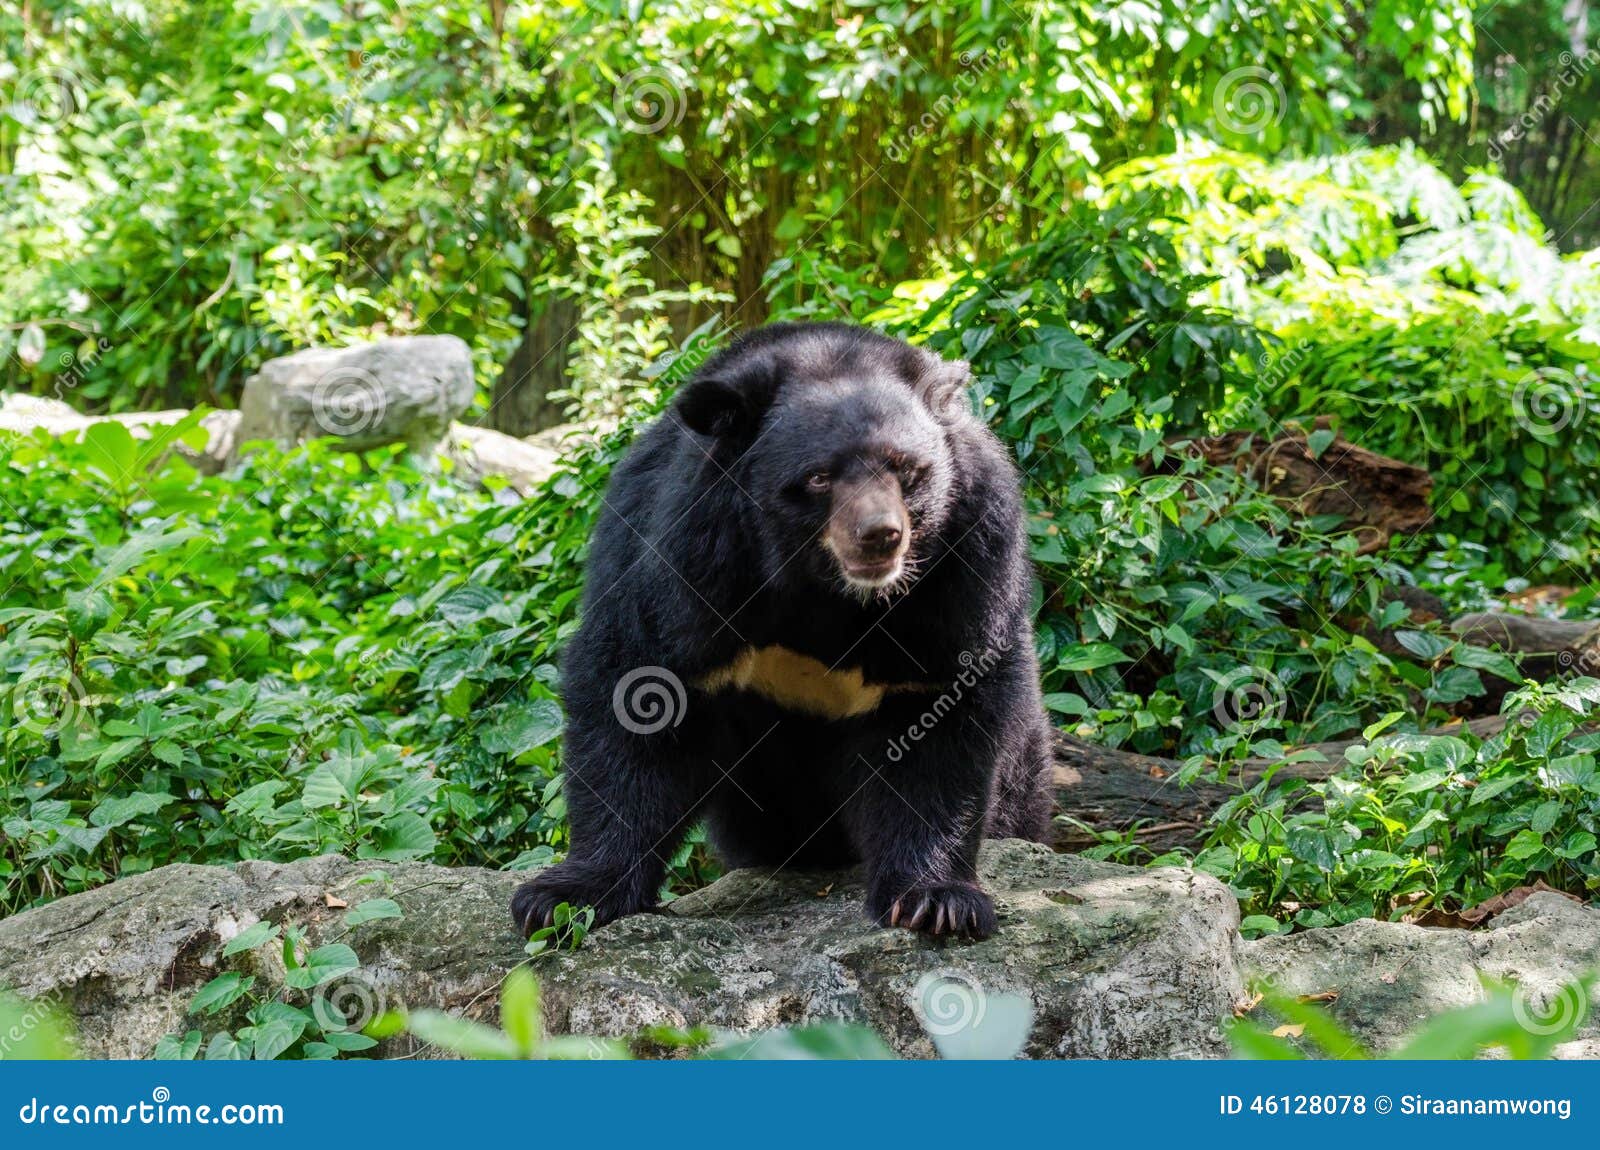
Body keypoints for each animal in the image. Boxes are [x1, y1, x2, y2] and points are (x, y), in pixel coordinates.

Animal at [511, 322, 1054, 940]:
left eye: (906, 469)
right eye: (818, 477)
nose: (880, 536)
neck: (824, 590)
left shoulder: (965, 565)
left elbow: (936, 712)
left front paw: (936, 903)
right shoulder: (682, 557)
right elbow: (637, 691)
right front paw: (560, 898)